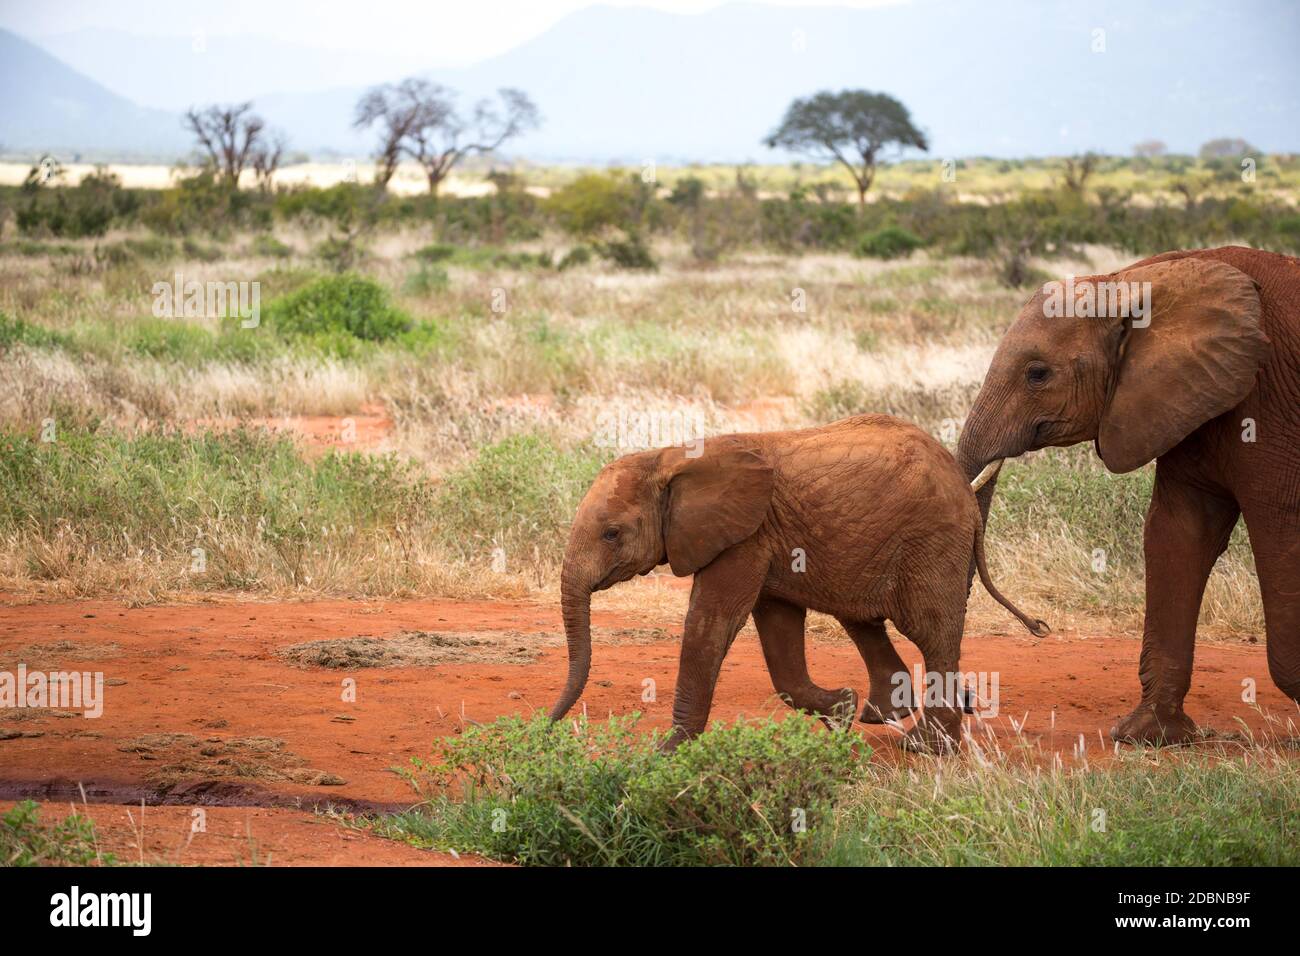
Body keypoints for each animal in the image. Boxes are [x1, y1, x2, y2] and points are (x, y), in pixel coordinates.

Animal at [549, 414, 1048, 750]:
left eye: (612, 534)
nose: (547, 727)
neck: (670, 457)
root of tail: (964, 486)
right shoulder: (766, 540)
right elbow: (778, 633)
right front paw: (841, 713)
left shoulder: (744, 537)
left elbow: (711, 624)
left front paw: (669, 754)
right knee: (864, 620)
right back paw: (879, 716)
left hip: (931, 539)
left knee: (932, 631)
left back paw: (925, 748)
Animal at [955, 245, 1300, 745]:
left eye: (1037, 374)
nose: (1040, 627)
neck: (1133, 281)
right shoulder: (1183, 396)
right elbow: (1177, 532)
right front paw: (1147, 735)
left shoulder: (1269, 405)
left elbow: (1279, 533)